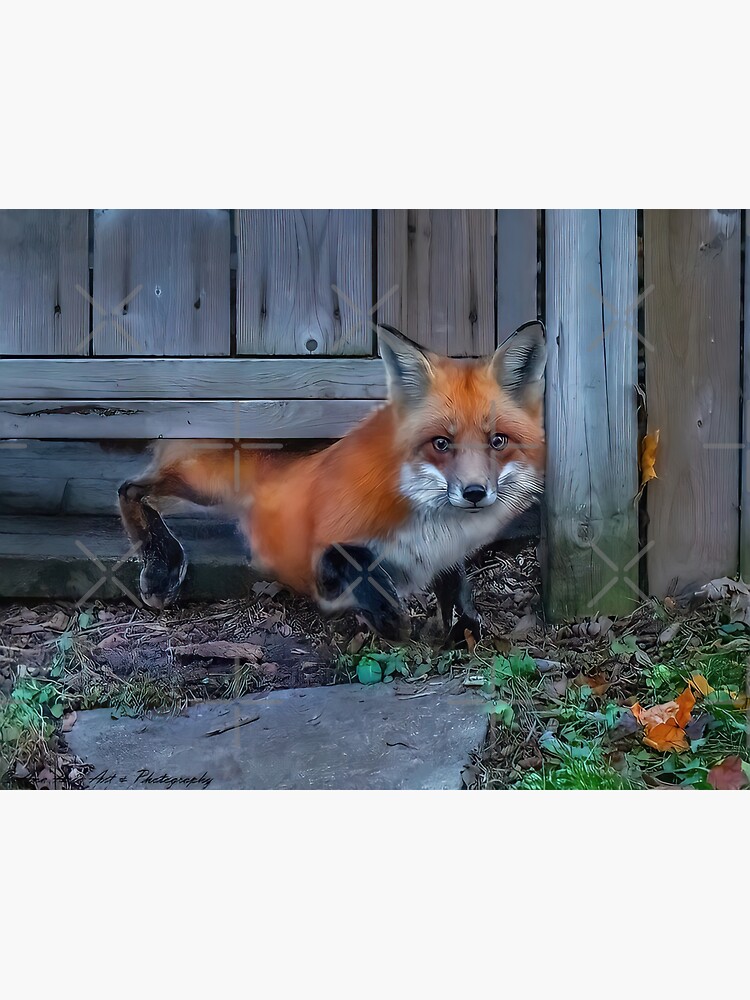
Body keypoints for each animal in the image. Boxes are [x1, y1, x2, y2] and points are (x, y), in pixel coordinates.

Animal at [118, 322, 546, 643]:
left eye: (498, 441)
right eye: (441, 443)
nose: (475, 493)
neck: (429, 523)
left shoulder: (445, 555)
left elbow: (457, 587)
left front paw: (461, 626)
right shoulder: (317, 554)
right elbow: (352, 566)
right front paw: (388, 619)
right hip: (209, 486)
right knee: (131, 489)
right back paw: (161, 565)